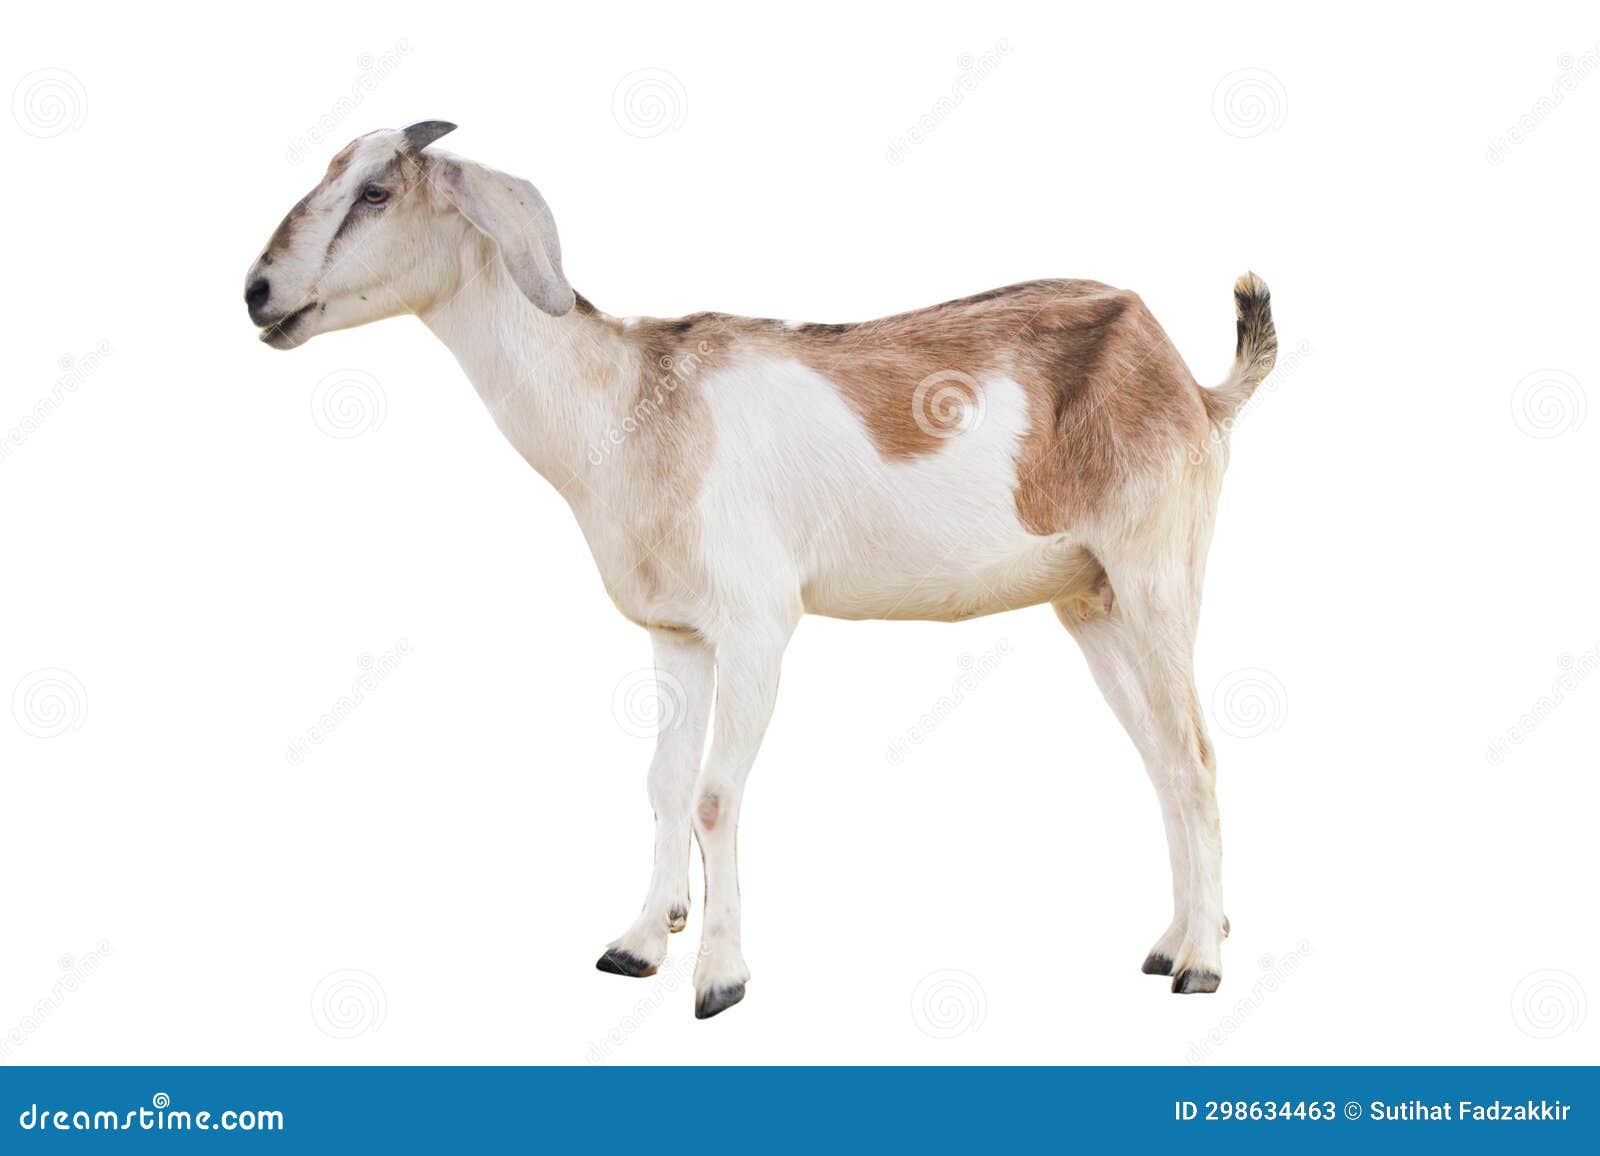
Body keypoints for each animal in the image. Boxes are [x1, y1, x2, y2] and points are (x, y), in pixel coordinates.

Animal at [245, 122, 1278, 1019]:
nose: (257, 292)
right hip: (1091, 600)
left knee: (1194, 753)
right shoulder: (676, 631)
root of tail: (1191, 383)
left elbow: (713, 794)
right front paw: (637, 946)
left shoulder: (756, 626)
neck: (630, 404)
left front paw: (719, 979)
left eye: (375, 192)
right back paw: (1172, 941)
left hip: (1157, 574)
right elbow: (663, 784)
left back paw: (1201, 965)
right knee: (1160, 760)